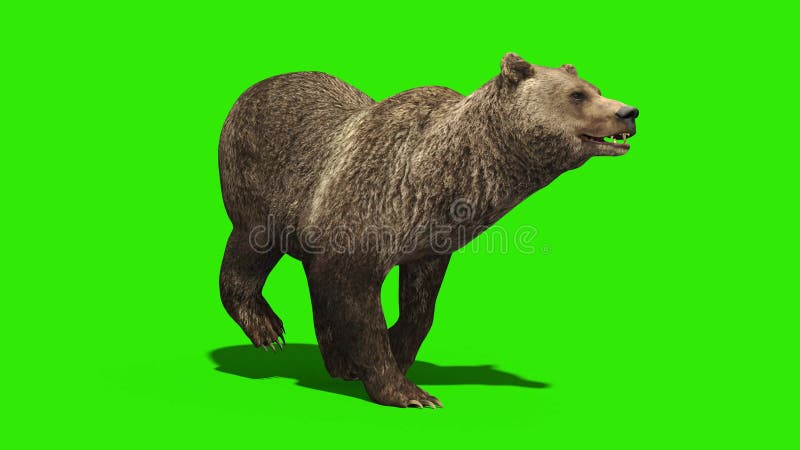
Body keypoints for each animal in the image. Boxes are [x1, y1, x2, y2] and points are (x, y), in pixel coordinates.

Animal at [218, 53, 639, 408]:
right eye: (576, 95)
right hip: (261, 186)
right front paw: (408, 391)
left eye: (596, 87)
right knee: (250, 245)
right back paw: (268, 330)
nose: (628, 111)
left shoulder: (428, 239)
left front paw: (393, 349)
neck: (441, 178)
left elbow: (420, 304)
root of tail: (256, 86)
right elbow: (357, 302)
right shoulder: (366, 207)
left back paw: (336, 361)